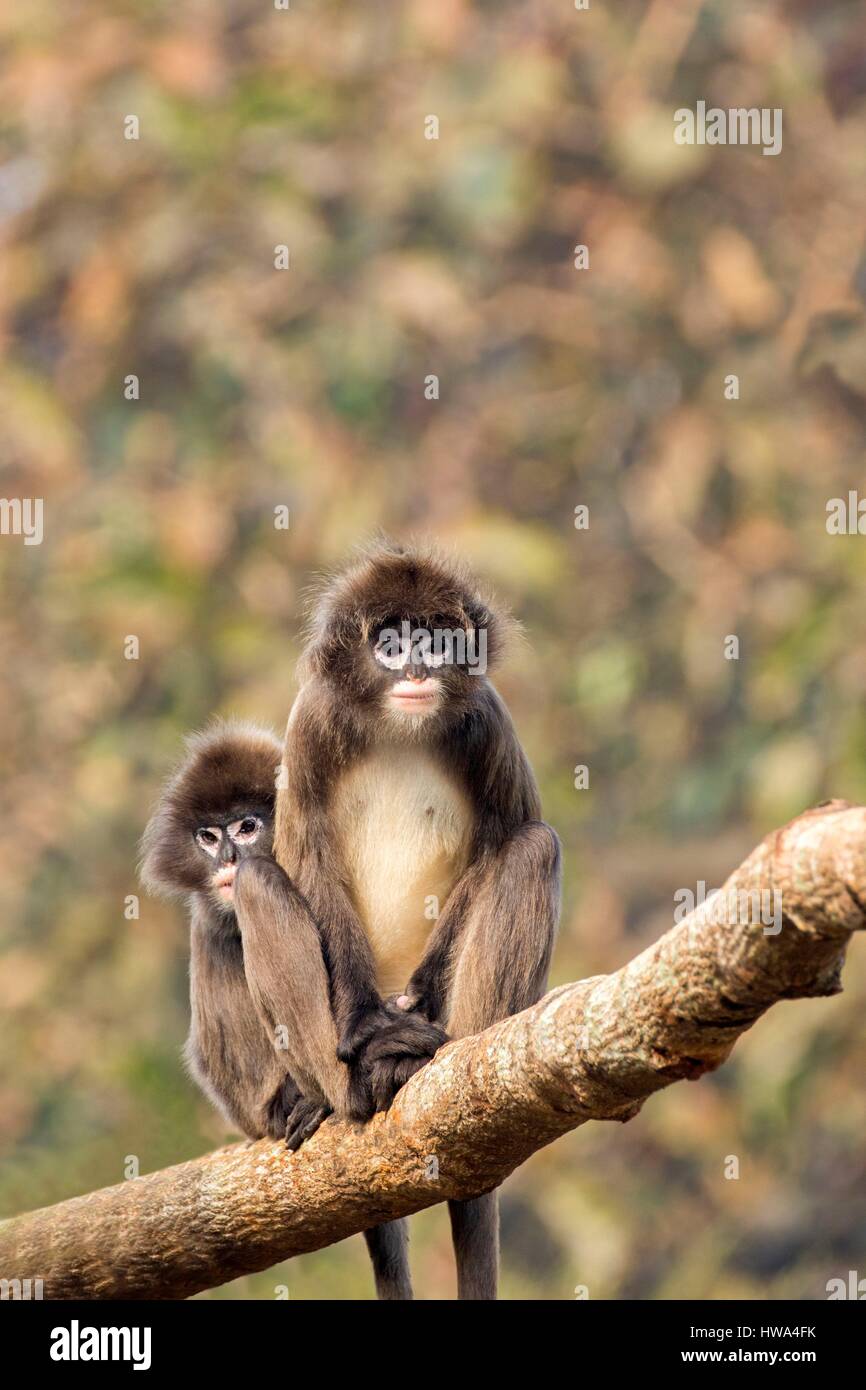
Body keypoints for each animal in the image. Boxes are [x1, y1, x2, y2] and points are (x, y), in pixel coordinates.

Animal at [233, 540, 561, 1300]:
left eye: (435, 642)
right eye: (391, 644)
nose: (415, 667)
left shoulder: (487, 721)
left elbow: (509, 836)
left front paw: (417, 1001)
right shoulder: (314, 719)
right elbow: (307, 860)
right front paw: (367, 1029)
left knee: (535, 847)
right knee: (260, 882)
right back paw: (354, 1087)